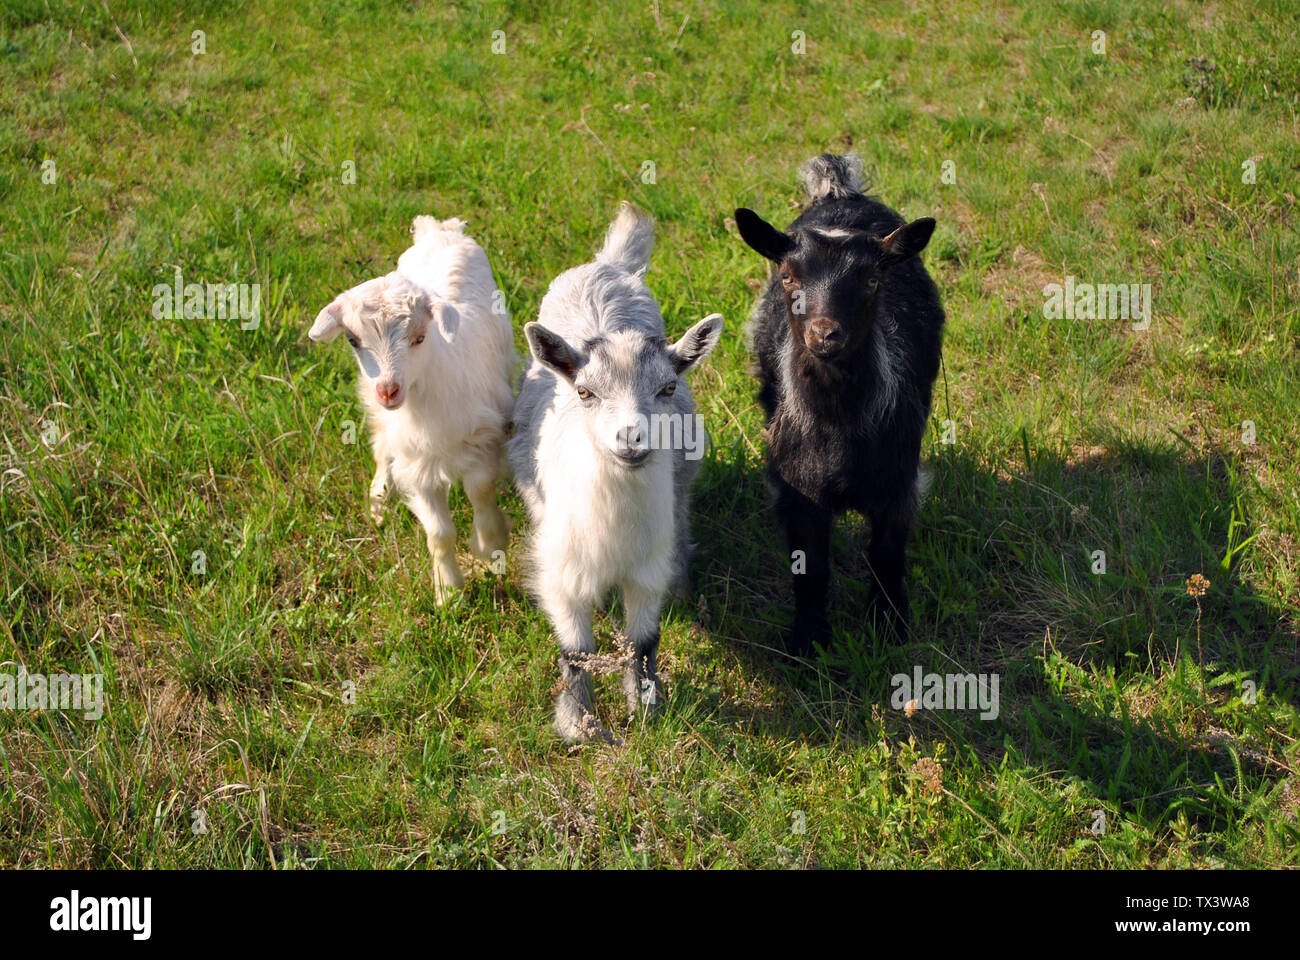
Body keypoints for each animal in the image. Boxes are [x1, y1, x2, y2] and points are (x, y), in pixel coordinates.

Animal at [309, 215, 517, 603]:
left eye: (420, 337)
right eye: (353, 340)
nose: (388, 390)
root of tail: (439, 229)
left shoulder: (484, 437)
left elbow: (480, 490)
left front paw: (488, 544)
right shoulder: (417, 464)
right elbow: (438, 533)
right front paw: (448, 591)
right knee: (380, 445)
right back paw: (379, 498)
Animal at [508, 204, 723, 743]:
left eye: (668, 388)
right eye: (585, 392)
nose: (631, 440)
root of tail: (606, 265)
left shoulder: (645, 568)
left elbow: (644, 640)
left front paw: (646, 709)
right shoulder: (560, 571)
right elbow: (576, 649)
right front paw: (579, 724)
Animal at [734, 154, 945, 651]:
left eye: (871, 279)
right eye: (788, 276)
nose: (825, 334)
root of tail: (838, 191)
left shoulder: (898, 480)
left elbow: (886, 554)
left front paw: (888, 627)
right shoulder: (795, 489)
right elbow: (809, 567)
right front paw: (808, 641)